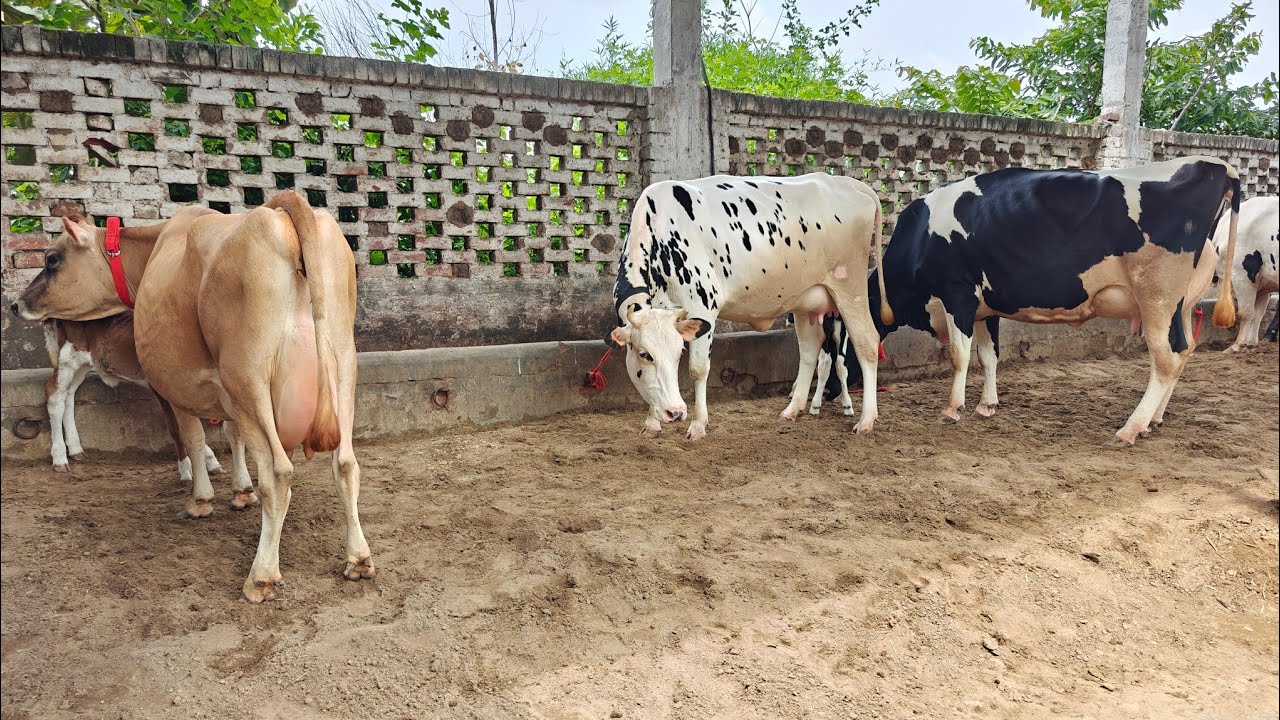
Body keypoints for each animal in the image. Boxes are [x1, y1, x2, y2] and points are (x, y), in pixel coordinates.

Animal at [41, 314, 230, 489]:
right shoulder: (160, 389)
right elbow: (176, 429)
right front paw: (185, 471)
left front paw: (211, 462)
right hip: (69, 356)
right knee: (55, 395)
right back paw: (59, 458)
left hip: (84, 363)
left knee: (69, 394)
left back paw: (75, 449)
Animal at [606, 172, 893, 439]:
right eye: (644, 354)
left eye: (679, 353)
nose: (675, 412)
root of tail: (851, 183)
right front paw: (652, 423)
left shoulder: (703, 306)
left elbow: (698, 370)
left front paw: (698, 424)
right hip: (806, 299)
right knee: (811, 349)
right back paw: (793, 409)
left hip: (850, 287)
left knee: (867, 343)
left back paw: (866, 419)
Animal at [864, 155, 1239, 446]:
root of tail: (1214, 164)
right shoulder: (985, 307)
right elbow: (989, 356)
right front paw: (987, 405)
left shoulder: (957, 295)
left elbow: (960, 356)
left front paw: (952, 409)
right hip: (1181, 306)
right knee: (1184, 350)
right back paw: (1153, 421)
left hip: (1157, 298)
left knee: (1165, 358)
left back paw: (1130, 429)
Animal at [1211, 195, 1278, 352]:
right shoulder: (1264, 282)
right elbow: (1258, 314)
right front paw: (1251, 345)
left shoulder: (1243, 273)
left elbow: (1245, 312)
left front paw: (1238, 345)